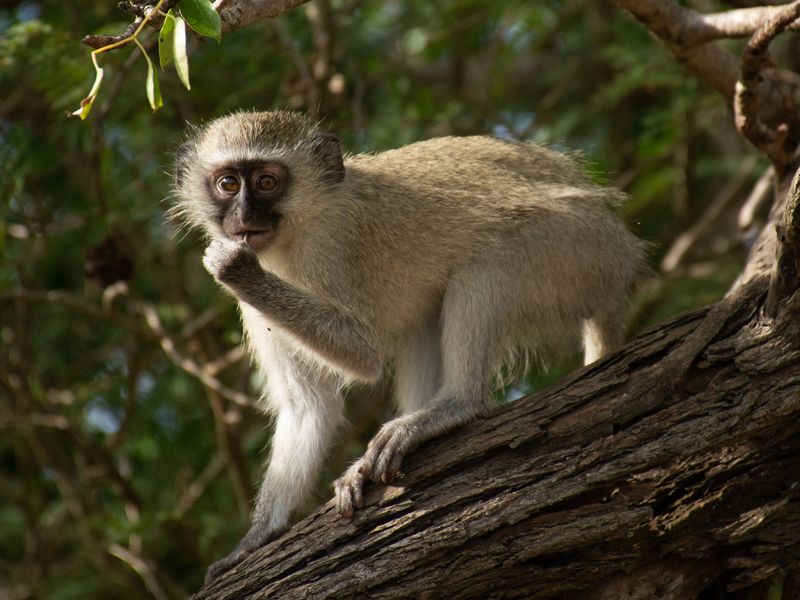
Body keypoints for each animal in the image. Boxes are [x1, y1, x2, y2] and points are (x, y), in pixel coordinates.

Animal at [171, 110, 647, 580]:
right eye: (228, 183)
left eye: (267, 181)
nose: (244, 214)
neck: (297, 231)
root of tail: (618, 255)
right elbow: (308, 407)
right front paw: (255, 540)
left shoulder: (332, 249)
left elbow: (363, 353)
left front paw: (238, 271)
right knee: (422, 320)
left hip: (572, 252)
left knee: (490, 258)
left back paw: (453, 407)